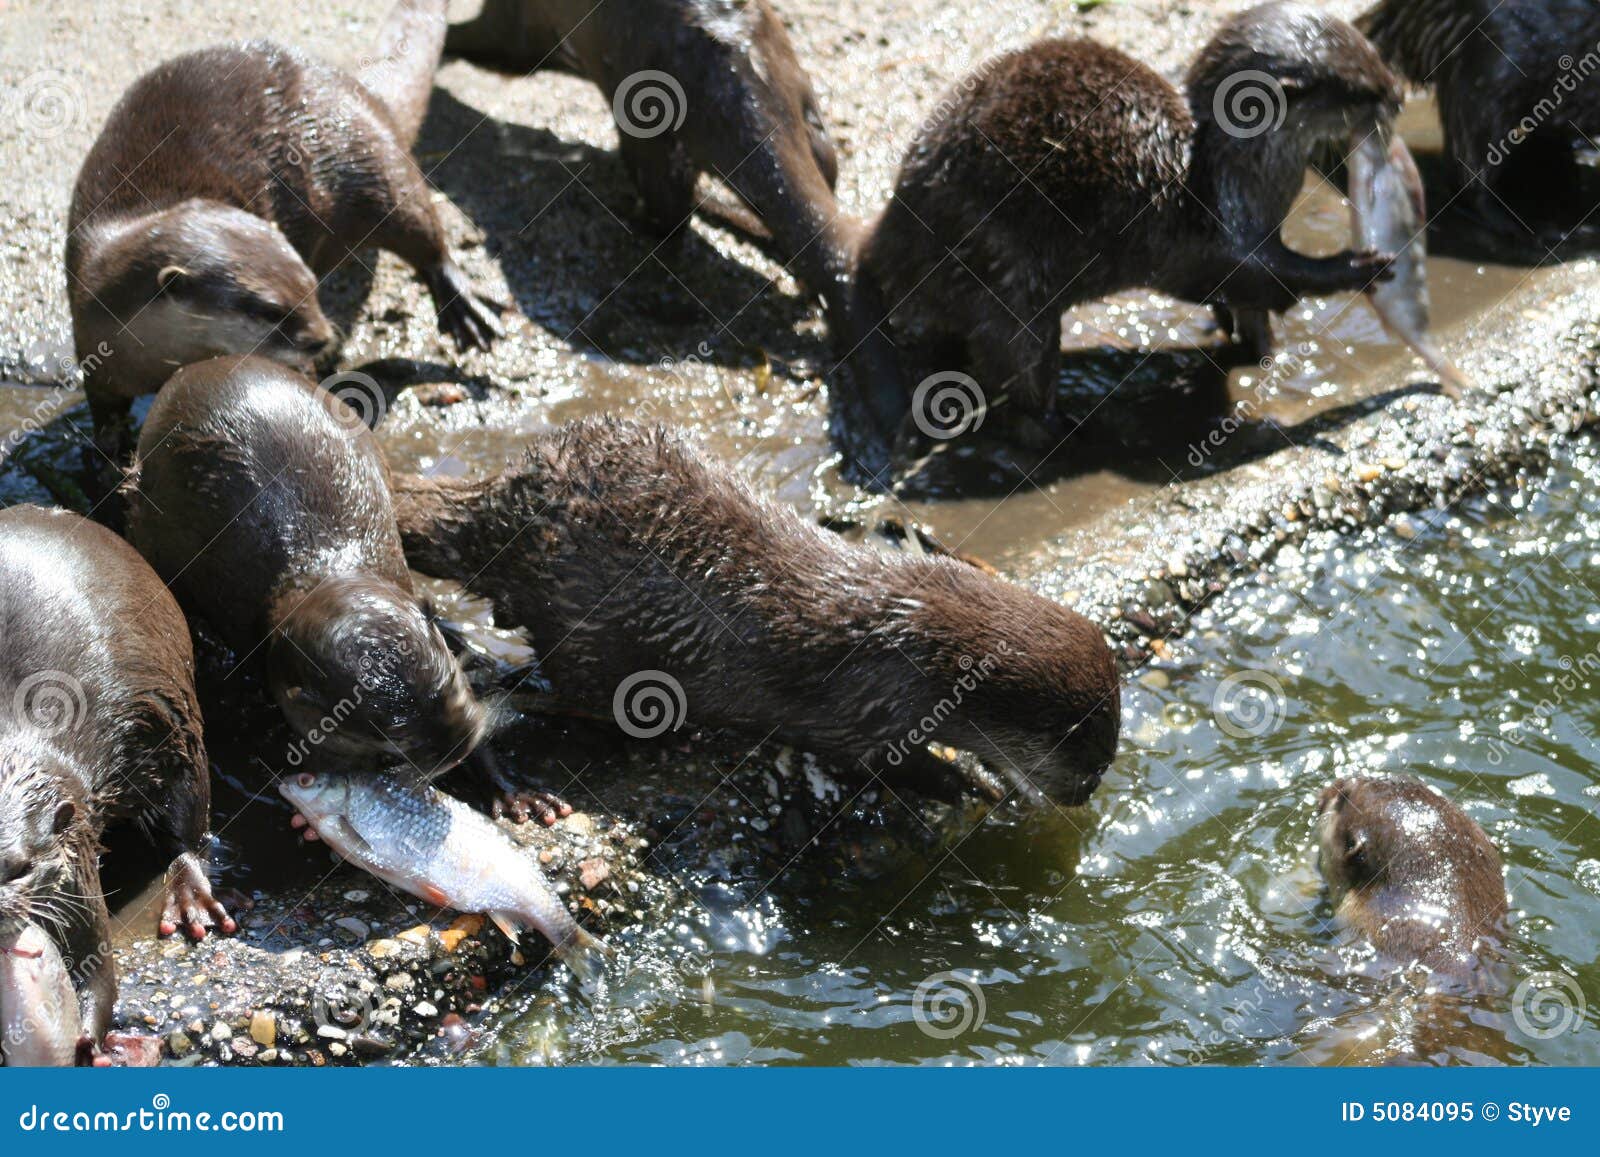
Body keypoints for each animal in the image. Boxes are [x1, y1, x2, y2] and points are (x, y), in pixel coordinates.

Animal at [0, 504, 235, 1058]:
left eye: (18, 869)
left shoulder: (73, 851)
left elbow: (97, 962)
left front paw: (89, 1041)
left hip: (172, 719)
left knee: (191, 815)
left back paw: (189, 895)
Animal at [67, 0, 501, 464]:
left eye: (312, 285)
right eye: (270, 310)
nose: (322, 339)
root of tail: (355, 88)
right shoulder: (92, 343)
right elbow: (103, 407)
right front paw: (106, 452)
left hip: (373, 162)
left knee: (422, 230)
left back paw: (465, 309)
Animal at [389, 417, 1122, 807]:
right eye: (1085, 755)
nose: (1087, 794)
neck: (916, 631)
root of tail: (508, 509)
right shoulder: (876, 711)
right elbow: (891, 766)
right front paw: (979, 785)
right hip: (584, 629)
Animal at [444, 0, 908, 451]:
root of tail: (735, 79)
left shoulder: (516, 20)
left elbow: (491, 47)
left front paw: (444, 46)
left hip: (647, 128)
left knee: (669, 214)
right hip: (807, 107)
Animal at [856, 2, 1402, 445]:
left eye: (1375, 56)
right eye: (1359, 89)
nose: (1397, 94)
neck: (1232, 169)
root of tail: (890, 233)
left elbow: (1248, 307)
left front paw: (1258, 350)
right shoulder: (1222, 236)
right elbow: (1263, 275)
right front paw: (1359, 265)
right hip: (1002, 273)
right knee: (1017, 382)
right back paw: (1076, 428)